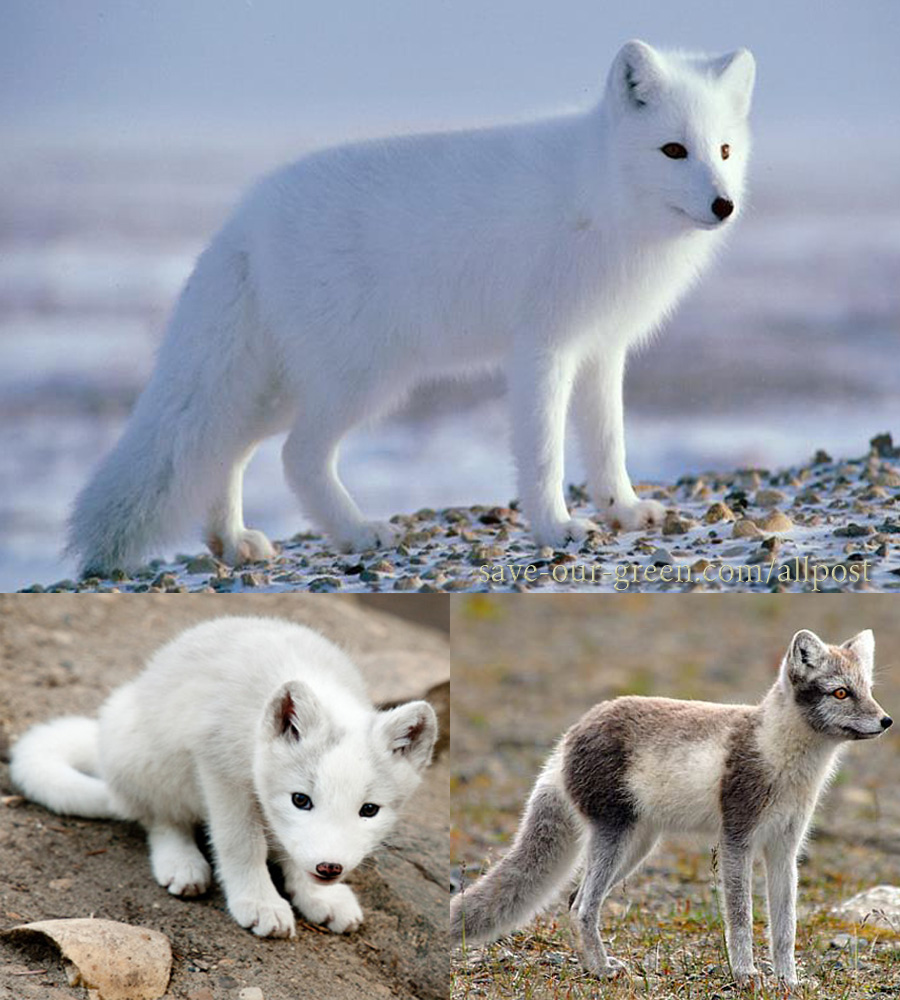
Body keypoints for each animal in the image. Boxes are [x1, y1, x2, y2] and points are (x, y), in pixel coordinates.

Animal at [10, 617, 438, 938]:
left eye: (369, 810)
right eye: (301, 800)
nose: (329, 869)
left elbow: (288, 847)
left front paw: (318, 897)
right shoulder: (220, 771)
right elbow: (241, 843)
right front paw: (259, 902)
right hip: (152, 764)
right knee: (159, 819)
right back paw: (181, 863)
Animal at [67, 39, 755, 576]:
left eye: (723, 151)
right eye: (673, 150)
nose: (723, 206)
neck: (604, 200)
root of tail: (244, 219)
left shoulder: (602, 348)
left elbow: (609, 443)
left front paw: (625, 510)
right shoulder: (543, 348)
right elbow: (543, 454)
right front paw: (556, 528)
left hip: (283, 385)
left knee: (227, 448)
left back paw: (233, 543)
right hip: (362, 380)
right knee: (294, 456)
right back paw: (357, 533)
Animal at [450, 628, 893, 986]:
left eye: (868, 689)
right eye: (840, 692)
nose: (887, 721)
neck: (783, 759)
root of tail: (566, 740)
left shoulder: (785, 849)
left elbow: (785, 928)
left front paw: (790, 981)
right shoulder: (736, 839)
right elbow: (740, 918)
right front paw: (746, 974)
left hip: (638, 846)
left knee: (575, 899)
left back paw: (593, 969)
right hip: (614, 836)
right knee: (584, 907)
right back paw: (604, 969)